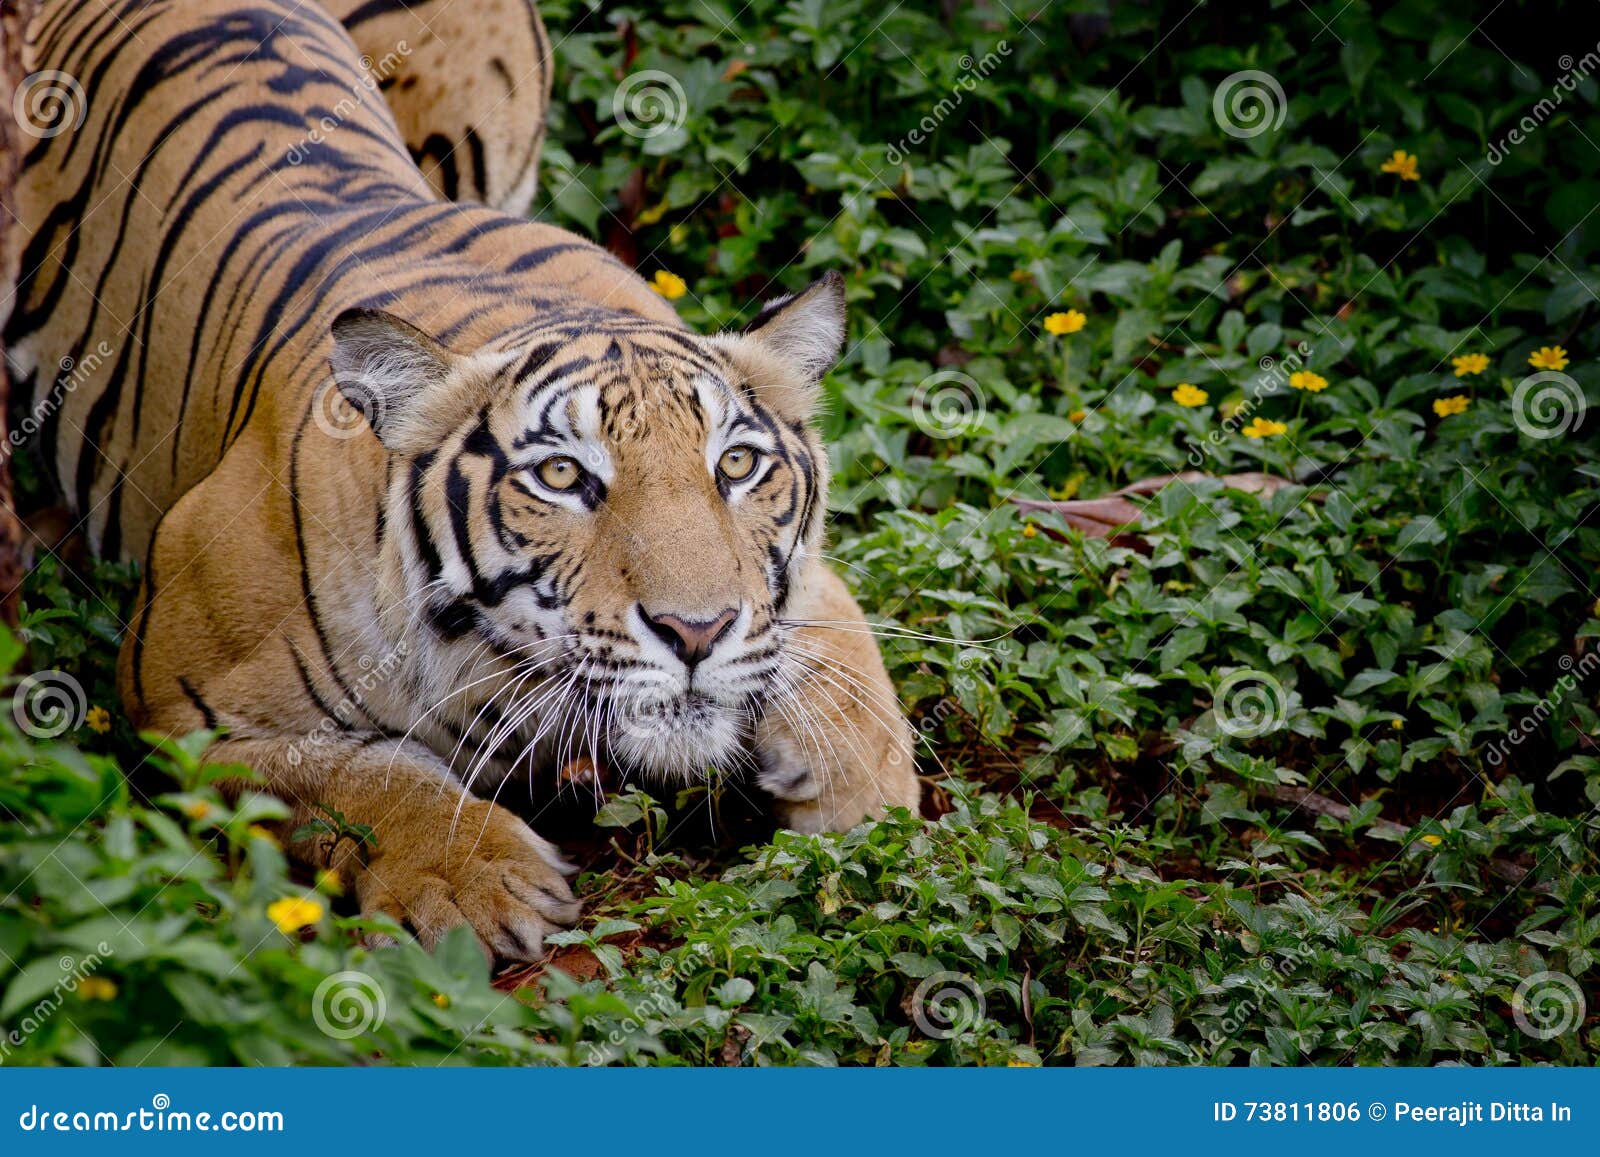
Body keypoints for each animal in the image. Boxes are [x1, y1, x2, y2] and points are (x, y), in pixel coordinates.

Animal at [2, 0, 919, 962]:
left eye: (736, 465)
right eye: (561, 475)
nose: (695, 633)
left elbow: (834, 631)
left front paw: (867, 789)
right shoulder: (182, 715)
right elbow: (354, 775)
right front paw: (475, 881)